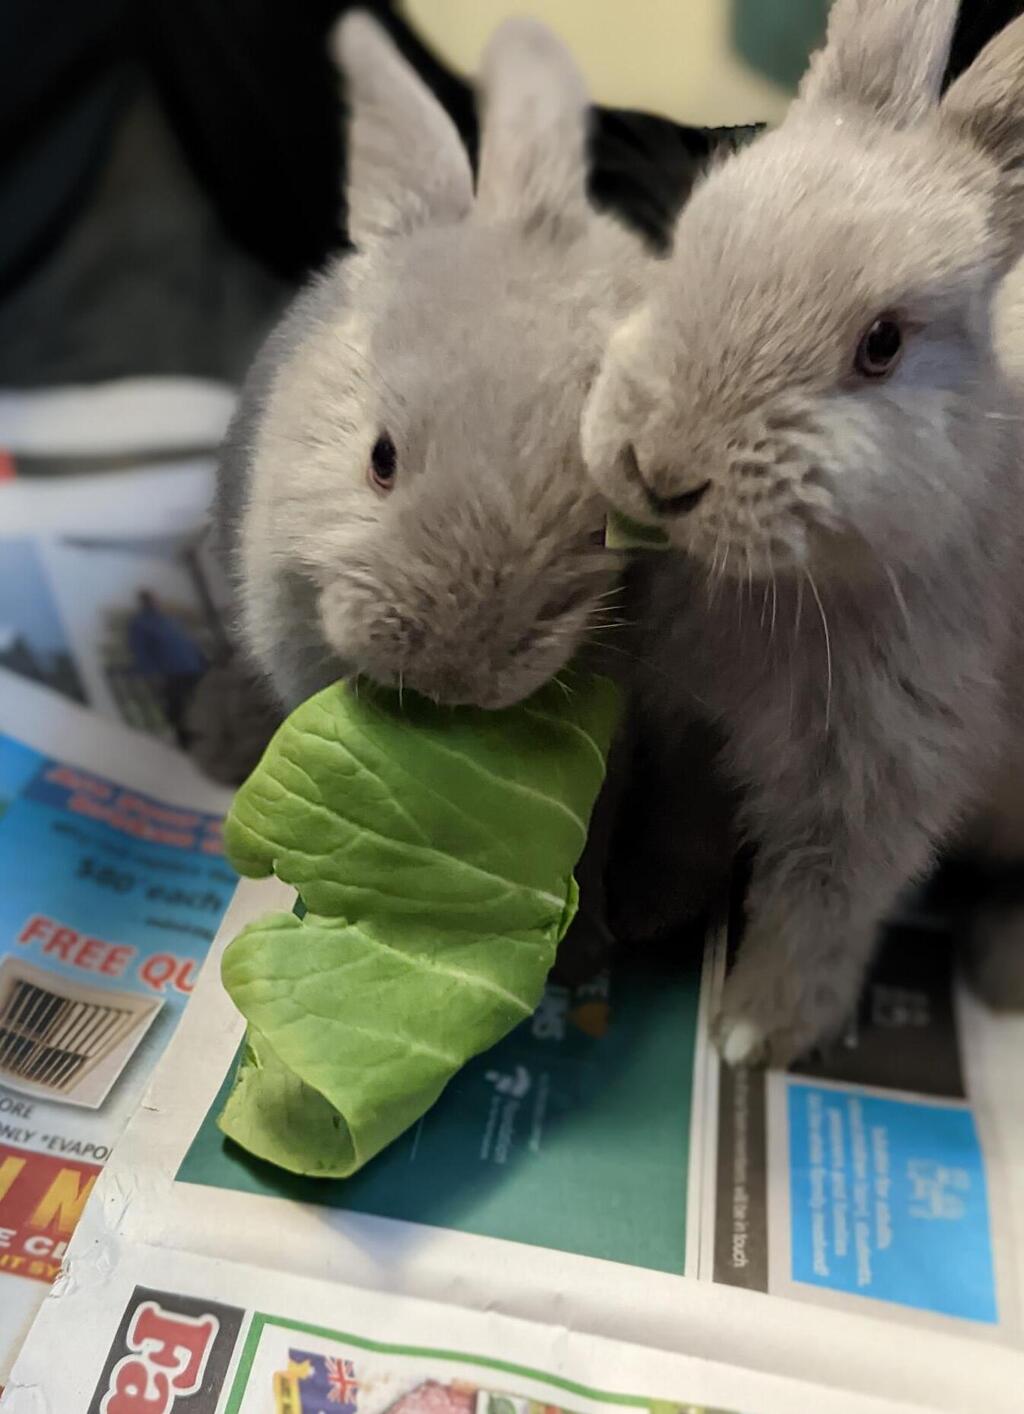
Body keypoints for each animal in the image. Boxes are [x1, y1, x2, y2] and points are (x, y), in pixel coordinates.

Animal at [582, 0, 1024, 1067]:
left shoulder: (877, 781)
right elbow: (685, 825)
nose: (660, 471)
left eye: (882, 345)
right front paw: (643, 909)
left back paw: (1002, 979)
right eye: (691, 241)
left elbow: (819, 912)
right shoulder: (692, 729)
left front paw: (750, 1033)